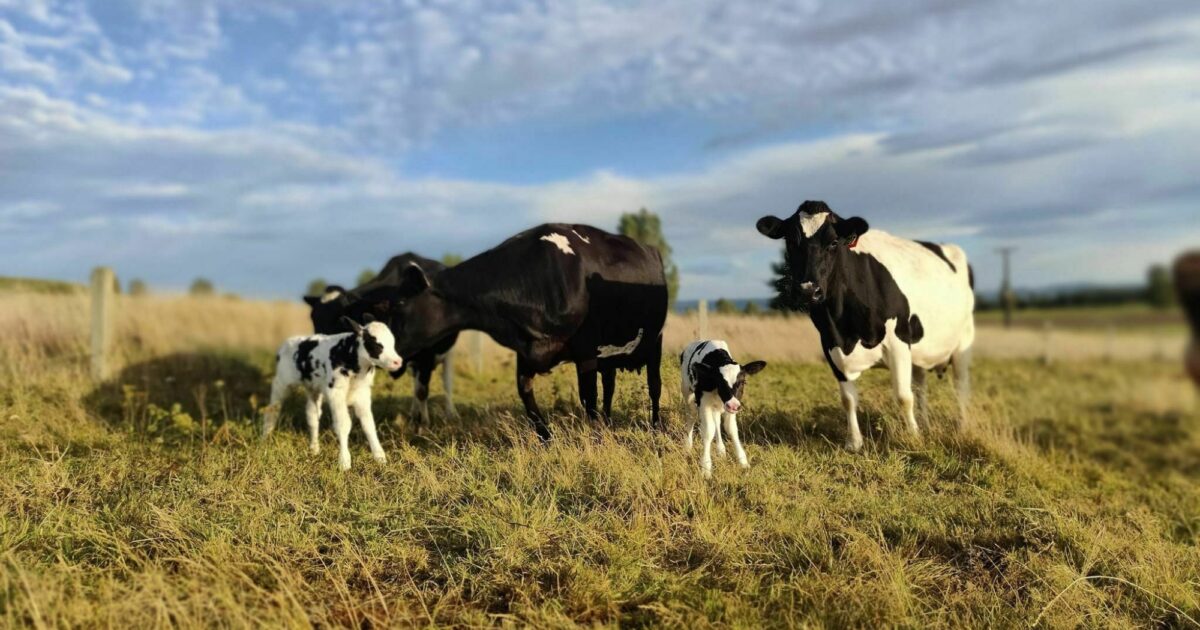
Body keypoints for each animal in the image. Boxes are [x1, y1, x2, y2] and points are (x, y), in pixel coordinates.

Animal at [262, 315, 404, 470]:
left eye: (393, 343)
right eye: (377, 345)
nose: (398, 361)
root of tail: (288, 343)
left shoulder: (362, 393)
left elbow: (369, 425)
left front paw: (380, 457)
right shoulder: (335, 392)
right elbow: (343, 424)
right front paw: (344, 462)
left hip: (313, 388)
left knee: (312, 416)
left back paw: (314, 449)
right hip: (282, 382)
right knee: (273, 408)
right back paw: (266, 438)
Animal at [304, 253, 458, 428]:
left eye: (340, 318)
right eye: (314, 318)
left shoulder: (426, 356)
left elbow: (422, 391)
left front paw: (424, 424)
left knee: (445, 381)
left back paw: (450, 413)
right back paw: (414, 413)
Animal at [357, 224, 668, 440]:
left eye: (398, 306)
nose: (374, 349)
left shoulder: (586, 351)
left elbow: (588, 399)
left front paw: (596, 438)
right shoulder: (526, 352)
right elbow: (527, 397)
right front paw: (546, 439)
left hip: (655, 341)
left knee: (654, 385)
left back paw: (655, 426)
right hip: (611, 355)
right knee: (610, 386)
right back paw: (610, 419)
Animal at [680, 340, 767, 477]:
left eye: (743, 382)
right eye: (720, 383)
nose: (733, 405)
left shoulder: (730, 407)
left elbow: (731, 429)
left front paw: (743, 462)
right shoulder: (704, 403)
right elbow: (708, 431)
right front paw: (706, 468)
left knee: (716, 420)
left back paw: (721, 450)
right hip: (687, 391)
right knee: (691, 415)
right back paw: (687, 446)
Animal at [756, 200, 975, 451]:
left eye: (833, 242)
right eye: (791, 242)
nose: (808, 290)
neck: (845, 327)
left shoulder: (899, 340)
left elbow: (903, 395)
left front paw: (913, 438)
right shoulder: (830, 344)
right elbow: (848, 399)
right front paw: (854, 442)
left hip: (963, 340)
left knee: (960, 386)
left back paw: (962, 427)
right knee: (921, 385)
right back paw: (926, 425)